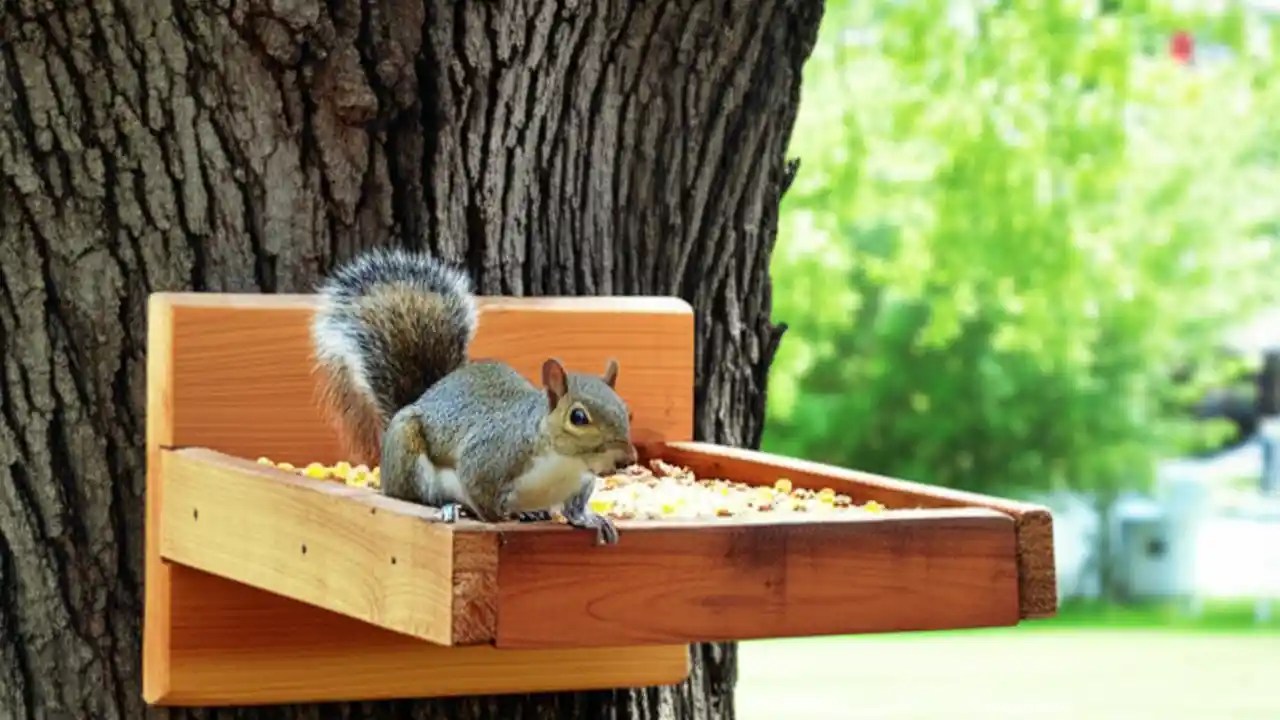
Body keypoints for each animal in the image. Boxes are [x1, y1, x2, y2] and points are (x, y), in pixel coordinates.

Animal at [309, 247, 635, 545]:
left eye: (627, 412)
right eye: (578, 417)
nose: (627, 460)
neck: (565, 463)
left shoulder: (580, 482)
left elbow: (575, 509)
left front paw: (591, 519)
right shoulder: (486, 460)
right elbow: (483, 499)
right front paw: (503, 520)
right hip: (409, 455)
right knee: (417, 496)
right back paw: (452, 507)